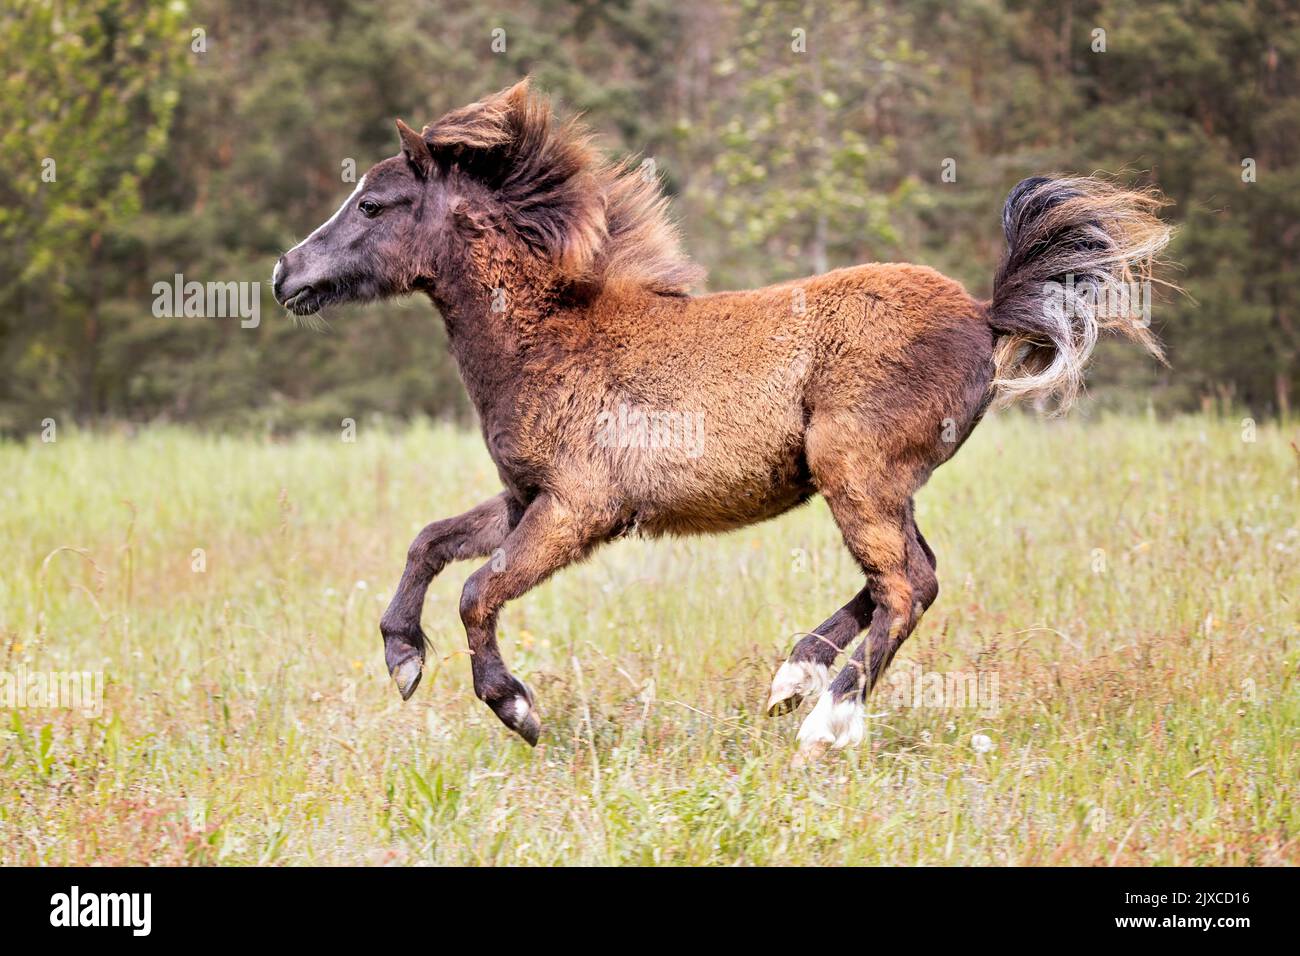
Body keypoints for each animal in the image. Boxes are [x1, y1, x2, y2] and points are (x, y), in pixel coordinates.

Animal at [273, 79, 1170, 760]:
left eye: (373, 204)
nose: (285, 274)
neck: (550, 335)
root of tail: (986, 316)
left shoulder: (580, 510)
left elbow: (475, 591)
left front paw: (517, 708)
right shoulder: (527, 498)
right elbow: (429, 543)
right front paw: (402, 657)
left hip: (854, 468)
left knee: (906, 584)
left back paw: (826, 720)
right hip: (874, 480)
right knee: (913, 575)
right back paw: (794, 678)